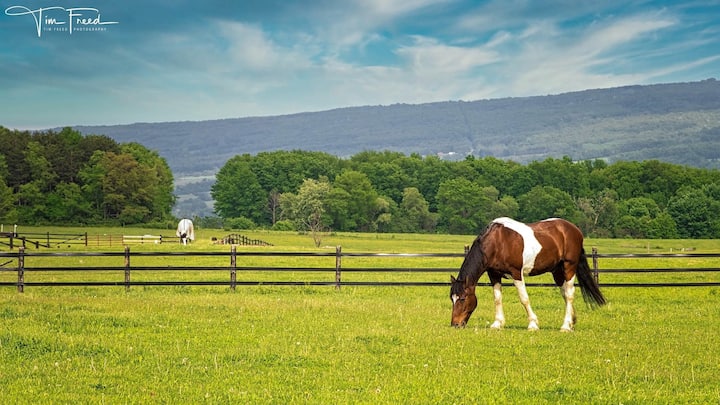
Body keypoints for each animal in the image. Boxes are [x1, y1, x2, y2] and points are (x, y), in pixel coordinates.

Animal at [450, 217, 606, 331]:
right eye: (452, 298)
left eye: (462, 299)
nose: (455, 324)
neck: (497, 242)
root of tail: (575, 230)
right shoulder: (494, 275)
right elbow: (497, 299)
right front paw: (497, 323)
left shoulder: (516, 273)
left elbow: (524, 298)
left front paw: (533, 324)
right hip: (557, 271)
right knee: (564, 293)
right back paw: (571, 321)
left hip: (569, 266)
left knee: (569, 294)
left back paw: (565, 326)